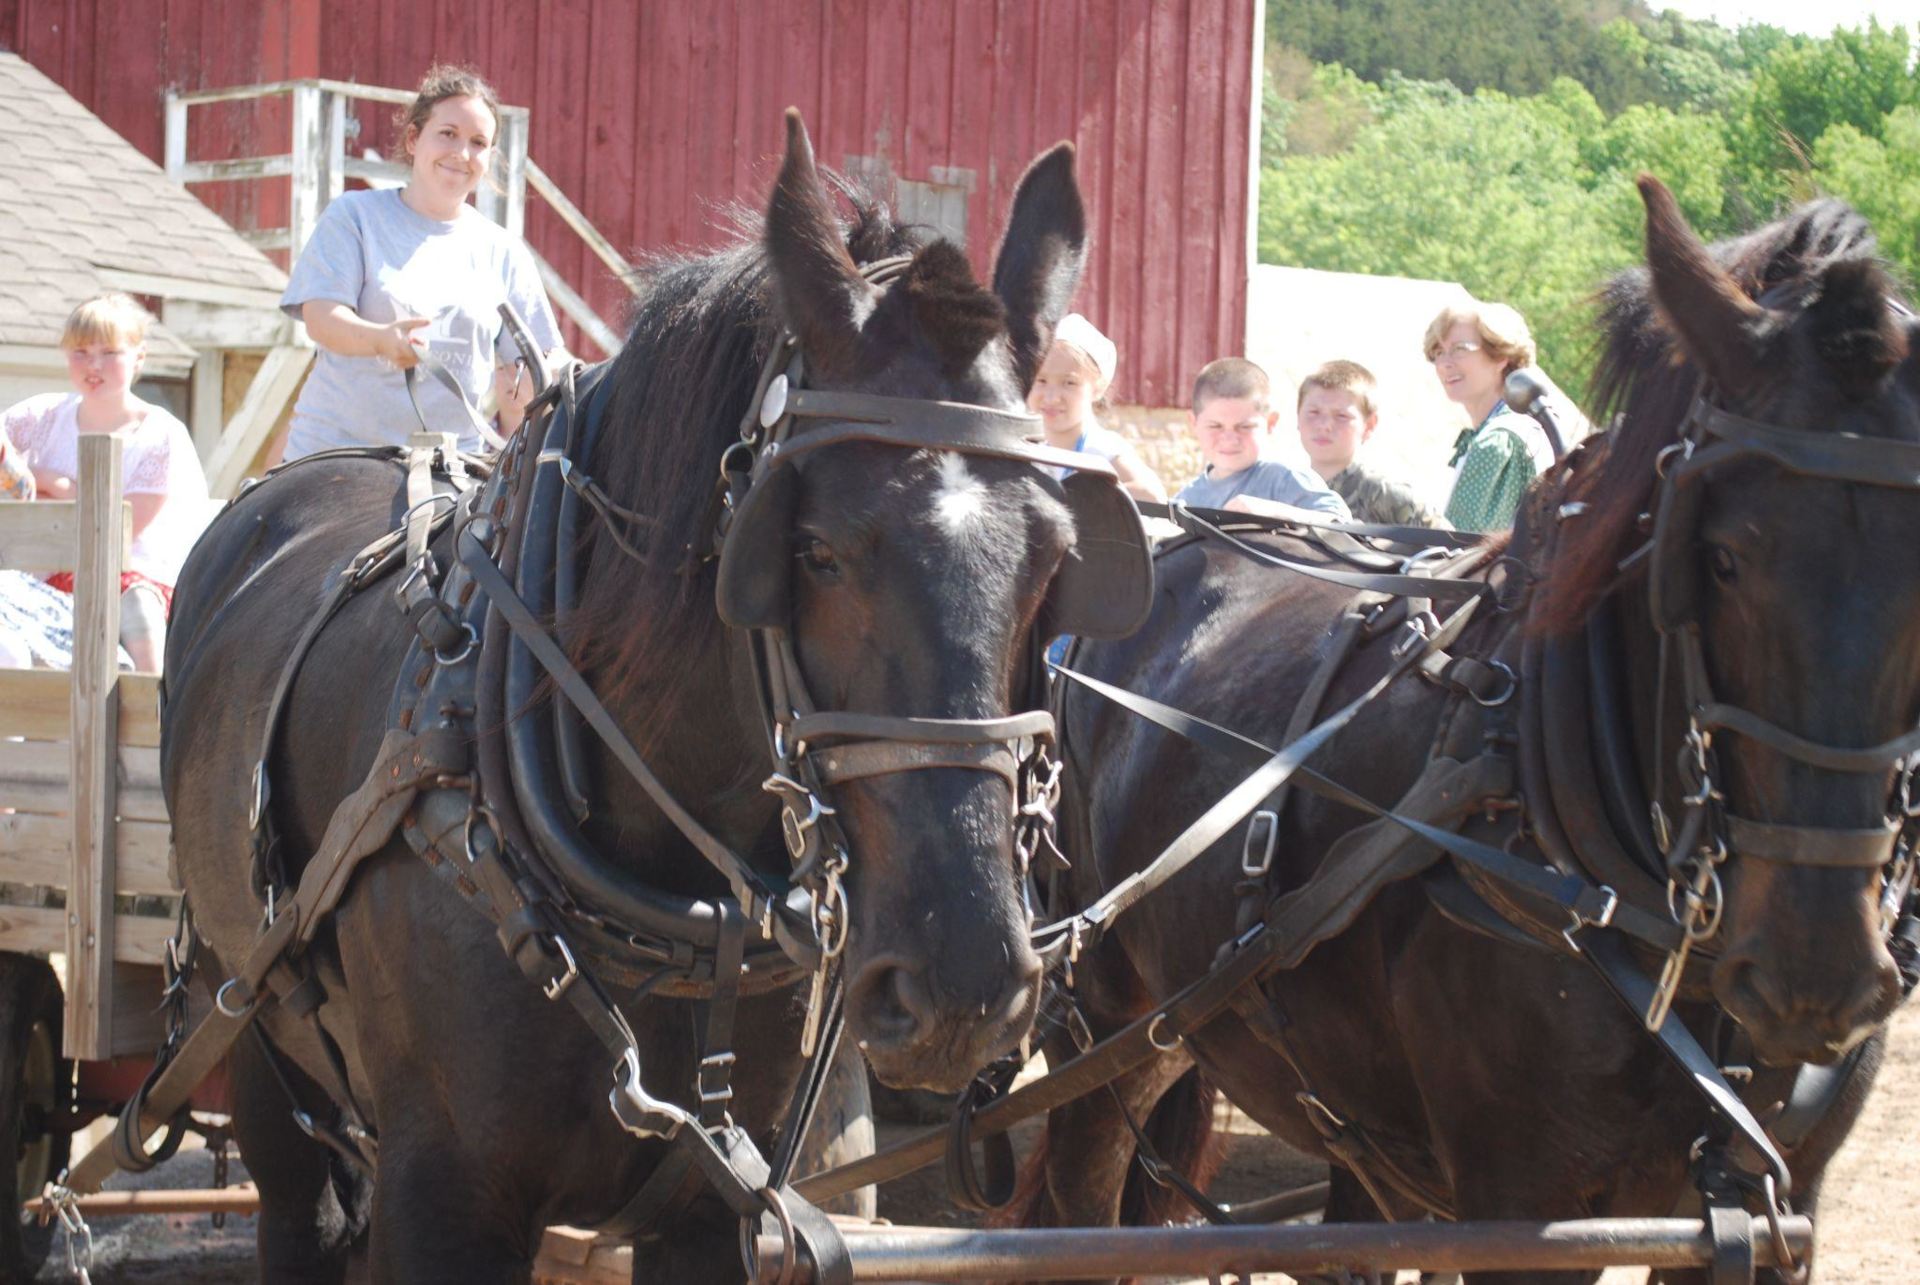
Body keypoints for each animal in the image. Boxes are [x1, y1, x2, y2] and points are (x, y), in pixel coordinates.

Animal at [159, 114, 1119, 1282]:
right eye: (812, 549)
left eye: (1055, 555)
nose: (966, 979)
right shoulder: (443, 1194)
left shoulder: (713, 1210)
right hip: (251, 1024)